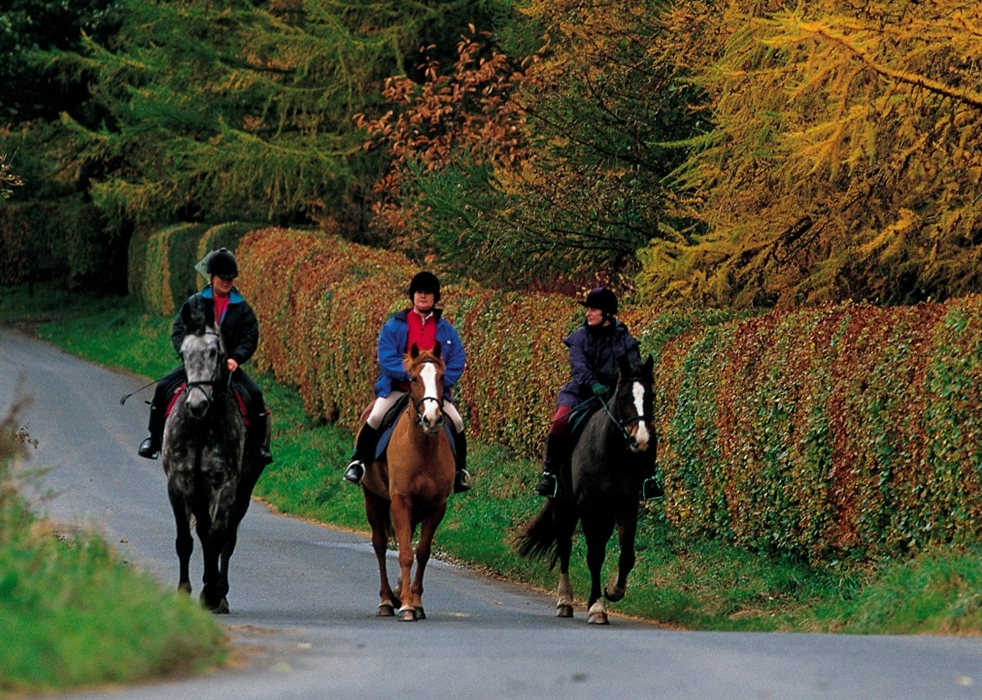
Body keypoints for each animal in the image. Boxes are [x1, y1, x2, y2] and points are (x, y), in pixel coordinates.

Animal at [161, 300, 264, 613]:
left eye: (214, 352)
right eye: (184, 352)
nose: (197, 404)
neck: (202, 425)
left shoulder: (226, 484)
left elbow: (218, 536)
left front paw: (211, 592)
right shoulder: (179, 483)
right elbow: (186, 539)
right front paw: (184, 591)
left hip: (243, 489)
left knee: (226, 537)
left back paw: (221, 592)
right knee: (203, 532)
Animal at [359, 342, 456, 621]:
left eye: (442, 377)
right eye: (413, 378)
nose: (432, 419)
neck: (423, 447)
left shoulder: (437, 505)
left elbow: (421, 552)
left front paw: (415, 600)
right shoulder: (401, 500)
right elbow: (404, 554)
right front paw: (406, 606)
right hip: (373, 499)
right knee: (380, 545)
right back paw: (385, 600)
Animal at [515, 355, 656, 624]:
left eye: (650, 396)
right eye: (623, 397)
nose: (641, 440)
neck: (612, 452)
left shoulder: (627, 505)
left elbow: (626, 555)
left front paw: (613, 590)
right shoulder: (589, 505)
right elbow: (594, 556)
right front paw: (597, 607)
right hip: (564, 508)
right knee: (565, 547)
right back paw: (564, 602)